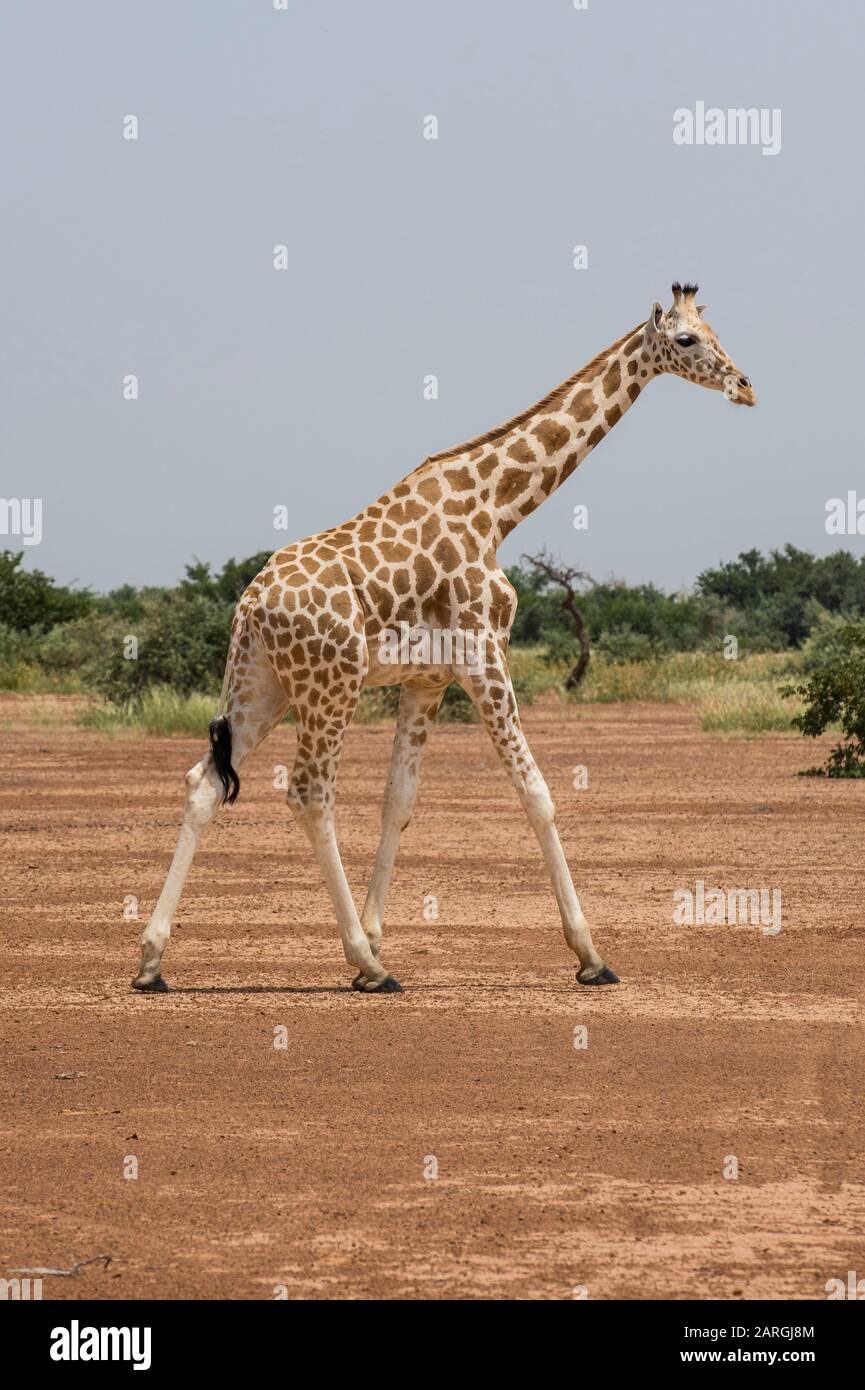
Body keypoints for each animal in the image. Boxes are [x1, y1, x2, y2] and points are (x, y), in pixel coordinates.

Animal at [133, 282, 754, 994]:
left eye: (714, 331)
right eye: (686, 339)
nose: (744, 385)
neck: (499, 509)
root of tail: (249, 606)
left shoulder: (427, 680)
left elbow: (398, 803)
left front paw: (379, 932)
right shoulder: (485, 657)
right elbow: (537, 795)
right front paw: (590, 956)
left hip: (262, 685)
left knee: (203, 782)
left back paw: (152, 962)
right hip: (329, 684)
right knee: (309, 793)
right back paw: (368, 966)